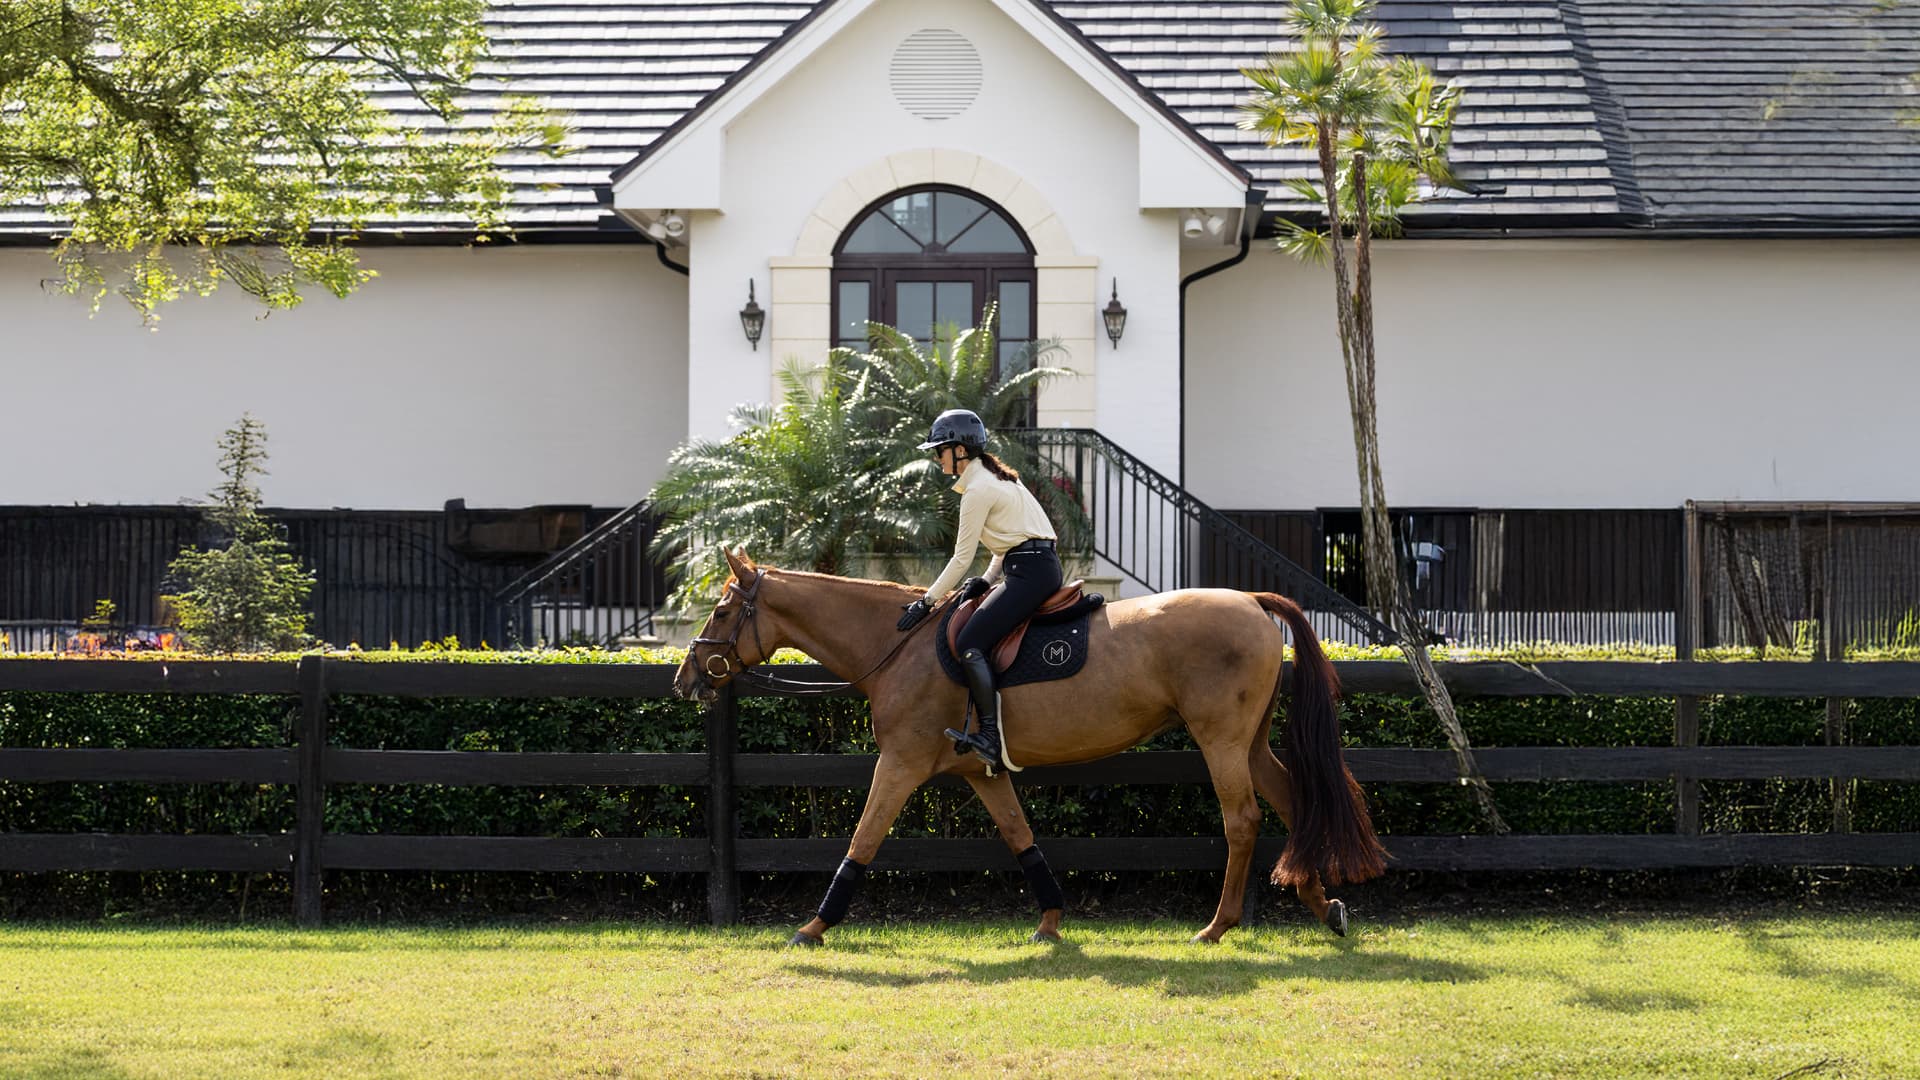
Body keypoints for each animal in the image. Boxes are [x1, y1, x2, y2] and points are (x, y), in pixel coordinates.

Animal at [672, 547, 1386, 946]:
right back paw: (1324, 908)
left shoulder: (899, 764)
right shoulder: (982, 773)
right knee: (1294, 803)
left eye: (721, 611)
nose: (685, 678)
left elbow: (863, 841)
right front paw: (1050, 922)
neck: (897, 646)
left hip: (1221, 740)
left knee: (1243, 820)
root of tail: (1251, 600)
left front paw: (813, 927)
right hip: (1251, 743)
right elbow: (1021, 839)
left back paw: (1220, 925)